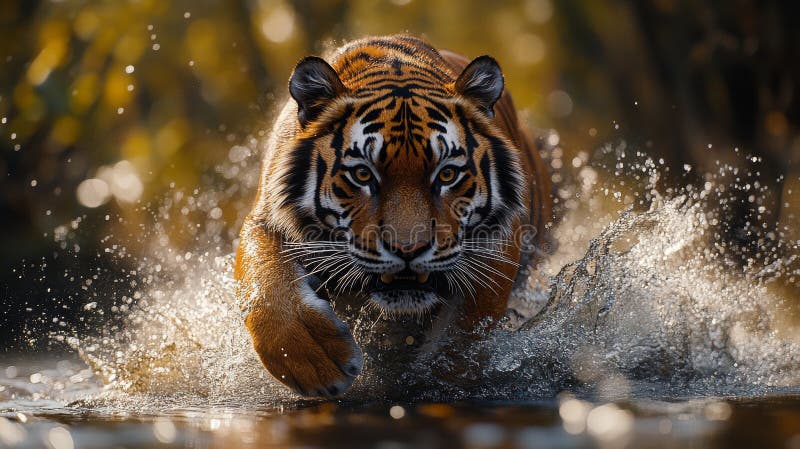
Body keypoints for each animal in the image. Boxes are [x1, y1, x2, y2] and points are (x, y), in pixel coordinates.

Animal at [235, 35, 552, 398]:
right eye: (362, 174)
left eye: (447, 175)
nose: (408, 249)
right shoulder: (266, 220)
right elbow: (266, 288)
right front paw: (316, 362)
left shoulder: (498, 243)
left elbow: (465, 334)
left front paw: (436, 380)